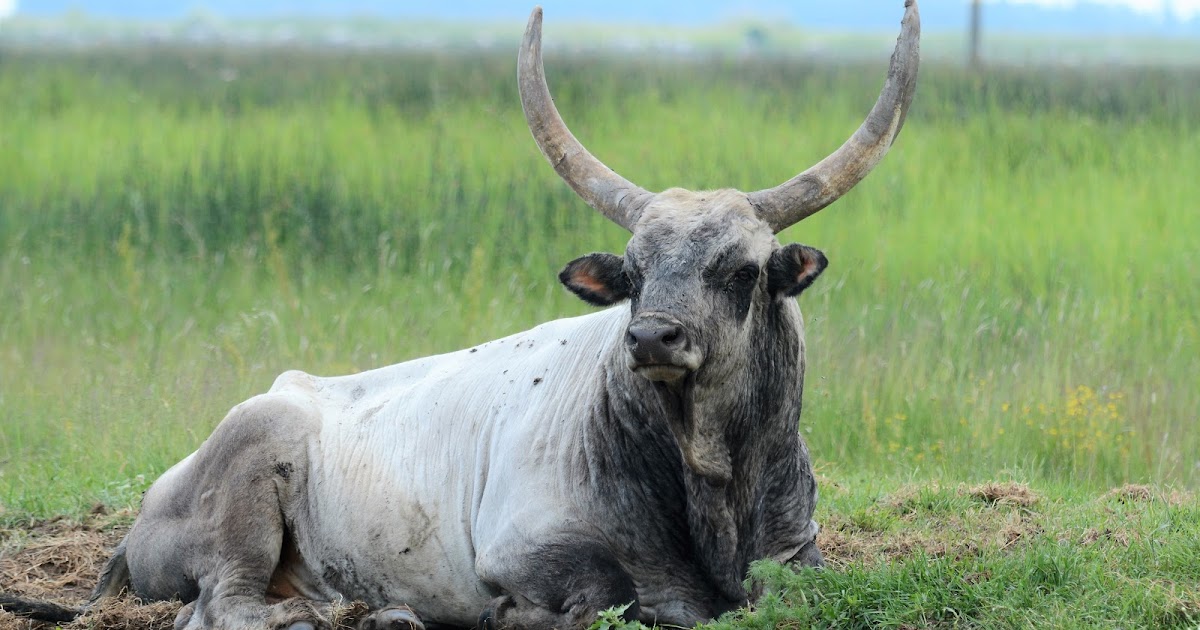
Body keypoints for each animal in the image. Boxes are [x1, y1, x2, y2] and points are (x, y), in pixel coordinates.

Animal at [1, 2, 919, 629]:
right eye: (633, 272)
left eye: (741, 269)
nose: (653, 336)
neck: (706, 481)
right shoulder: (533, 552)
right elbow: (615, 597)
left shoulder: (799, 554)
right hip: (245, 492)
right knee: (221, 607)